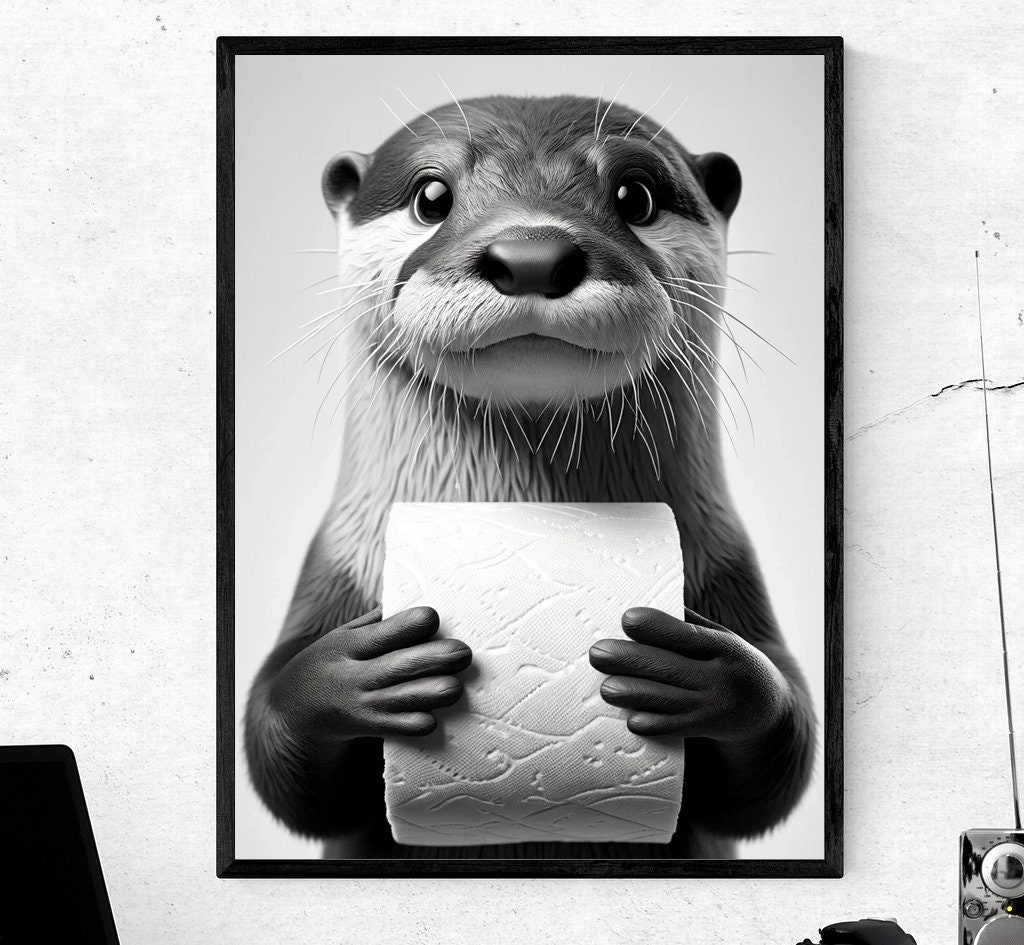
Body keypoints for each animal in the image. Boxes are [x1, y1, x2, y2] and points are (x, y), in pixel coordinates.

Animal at [244, 94, 815, 859]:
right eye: (431, 196)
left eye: (636, 195)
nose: (533, 256)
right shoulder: (336, 568)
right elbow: (284, 765)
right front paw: (352, 672)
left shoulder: (728, 567)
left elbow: (775, 763)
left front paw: (707, 670)